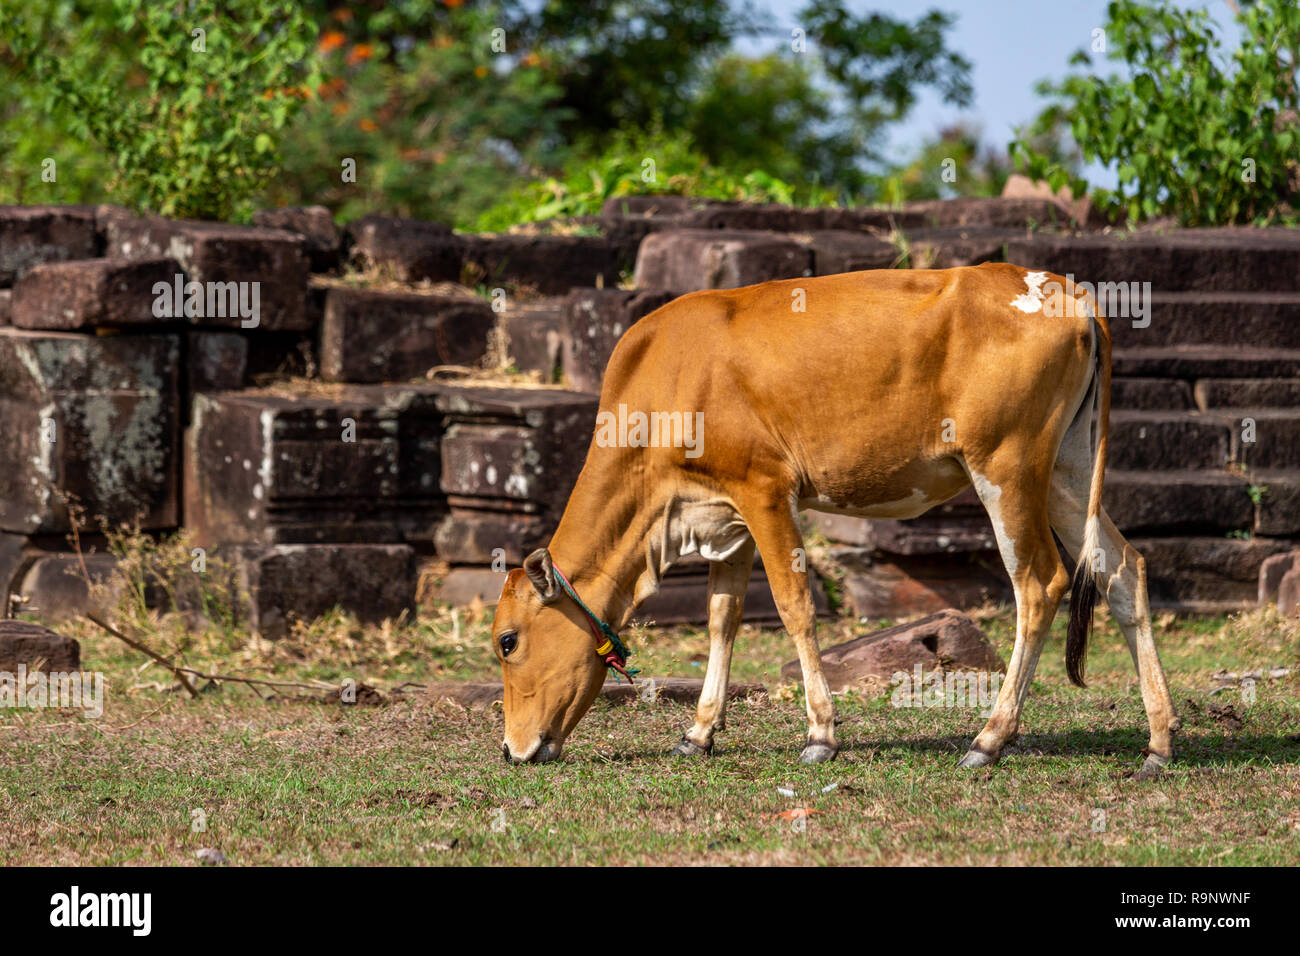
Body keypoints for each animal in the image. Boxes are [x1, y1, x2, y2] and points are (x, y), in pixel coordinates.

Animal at [490, 263, 1180, 777]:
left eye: (507, 642)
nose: (511, 750)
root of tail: (1069, 293)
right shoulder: (724, 515)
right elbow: (722, 618)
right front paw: (700, 730)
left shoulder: (765, 489)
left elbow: (794, 606)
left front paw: (821, 733)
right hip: (1066, 470)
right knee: (1123, 570)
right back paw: (1159, 740)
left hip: (1007, 467)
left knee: (1039, 584)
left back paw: (989, 739)